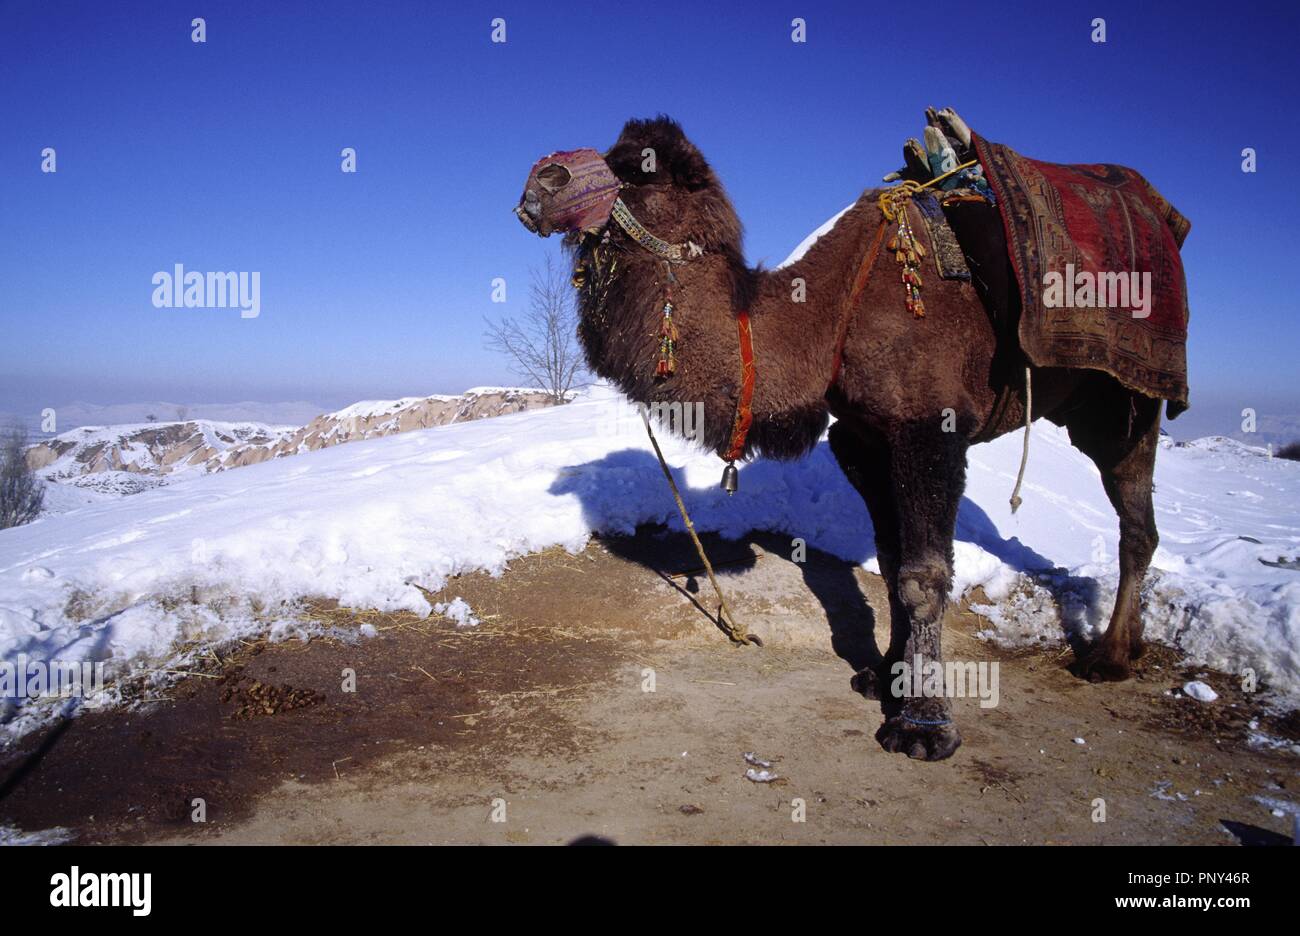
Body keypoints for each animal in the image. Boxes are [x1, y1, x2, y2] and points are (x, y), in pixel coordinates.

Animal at [515, 116, 1173, 761]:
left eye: (638, 169)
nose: (542, 176)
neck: (827, 317)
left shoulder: (929, 429)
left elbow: (922, 576)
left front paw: (923, 723)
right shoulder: (862, 438)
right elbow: (891, 560)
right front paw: (885, 677)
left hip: (1127, 405)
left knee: (1135, 518)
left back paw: (1109, 658)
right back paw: (1131, 647)